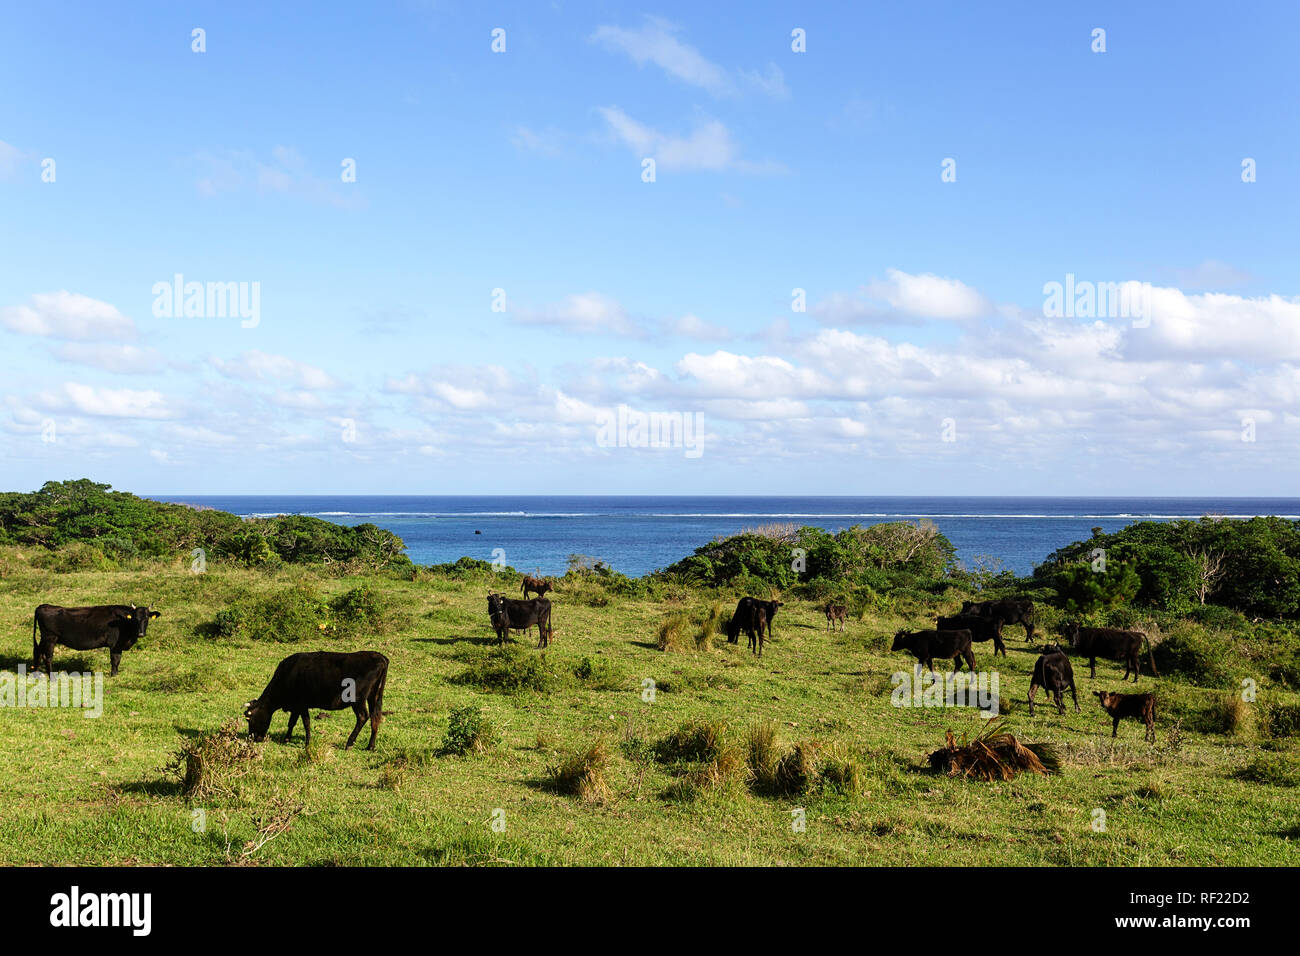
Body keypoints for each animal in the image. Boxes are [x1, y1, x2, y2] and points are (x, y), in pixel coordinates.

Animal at [32, 604, 160, 677]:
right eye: (135, 619)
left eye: (147, 618)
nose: (141, 633)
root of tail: (43, 606)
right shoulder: (115, 645)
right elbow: (115, 660)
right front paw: (114, 675)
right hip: (50, 638)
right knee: (48, 657)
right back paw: (51, 676)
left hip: (44, 639)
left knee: (37, 652)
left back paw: (36, 673)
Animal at [243, 650, 389, 750]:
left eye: (251, 719)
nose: (253, 739)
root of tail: (380, 657)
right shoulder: (296, 706)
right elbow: (292, 722)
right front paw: (287, 738)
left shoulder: (301, 704)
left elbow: (306, 723)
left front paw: (307, 743)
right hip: (374, 697)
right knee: (375, 717)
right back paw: (370, 746)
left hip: (358, 699)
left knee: (363, 716)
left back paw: (349, 743)